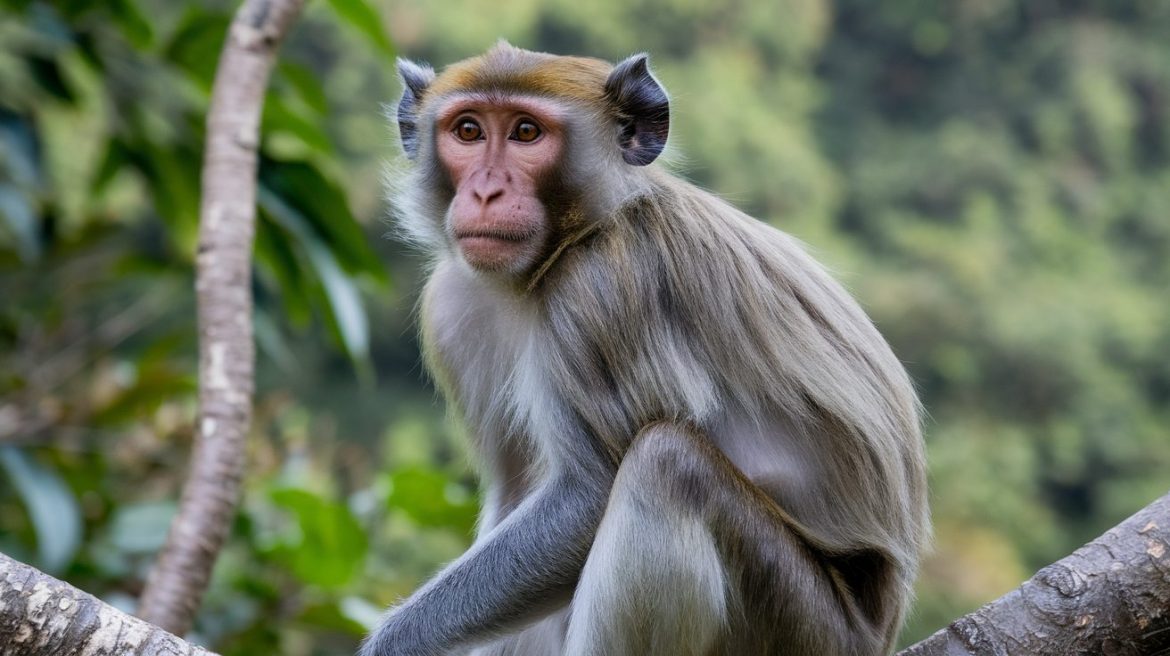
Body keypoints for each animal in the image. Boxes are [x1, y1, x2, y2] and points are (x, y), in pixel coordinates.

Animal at [360, 42, 929, 656]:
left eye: (526, 133)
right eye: (467, 130)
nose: (485, 192)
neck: (562, 248)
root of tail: (881, 624)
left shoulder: (600, 290)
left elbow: (587, 498)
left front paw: (395, 641)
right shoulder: (452, 307)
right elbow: (516, 494)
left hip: (802, 627)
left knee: (667, 466)